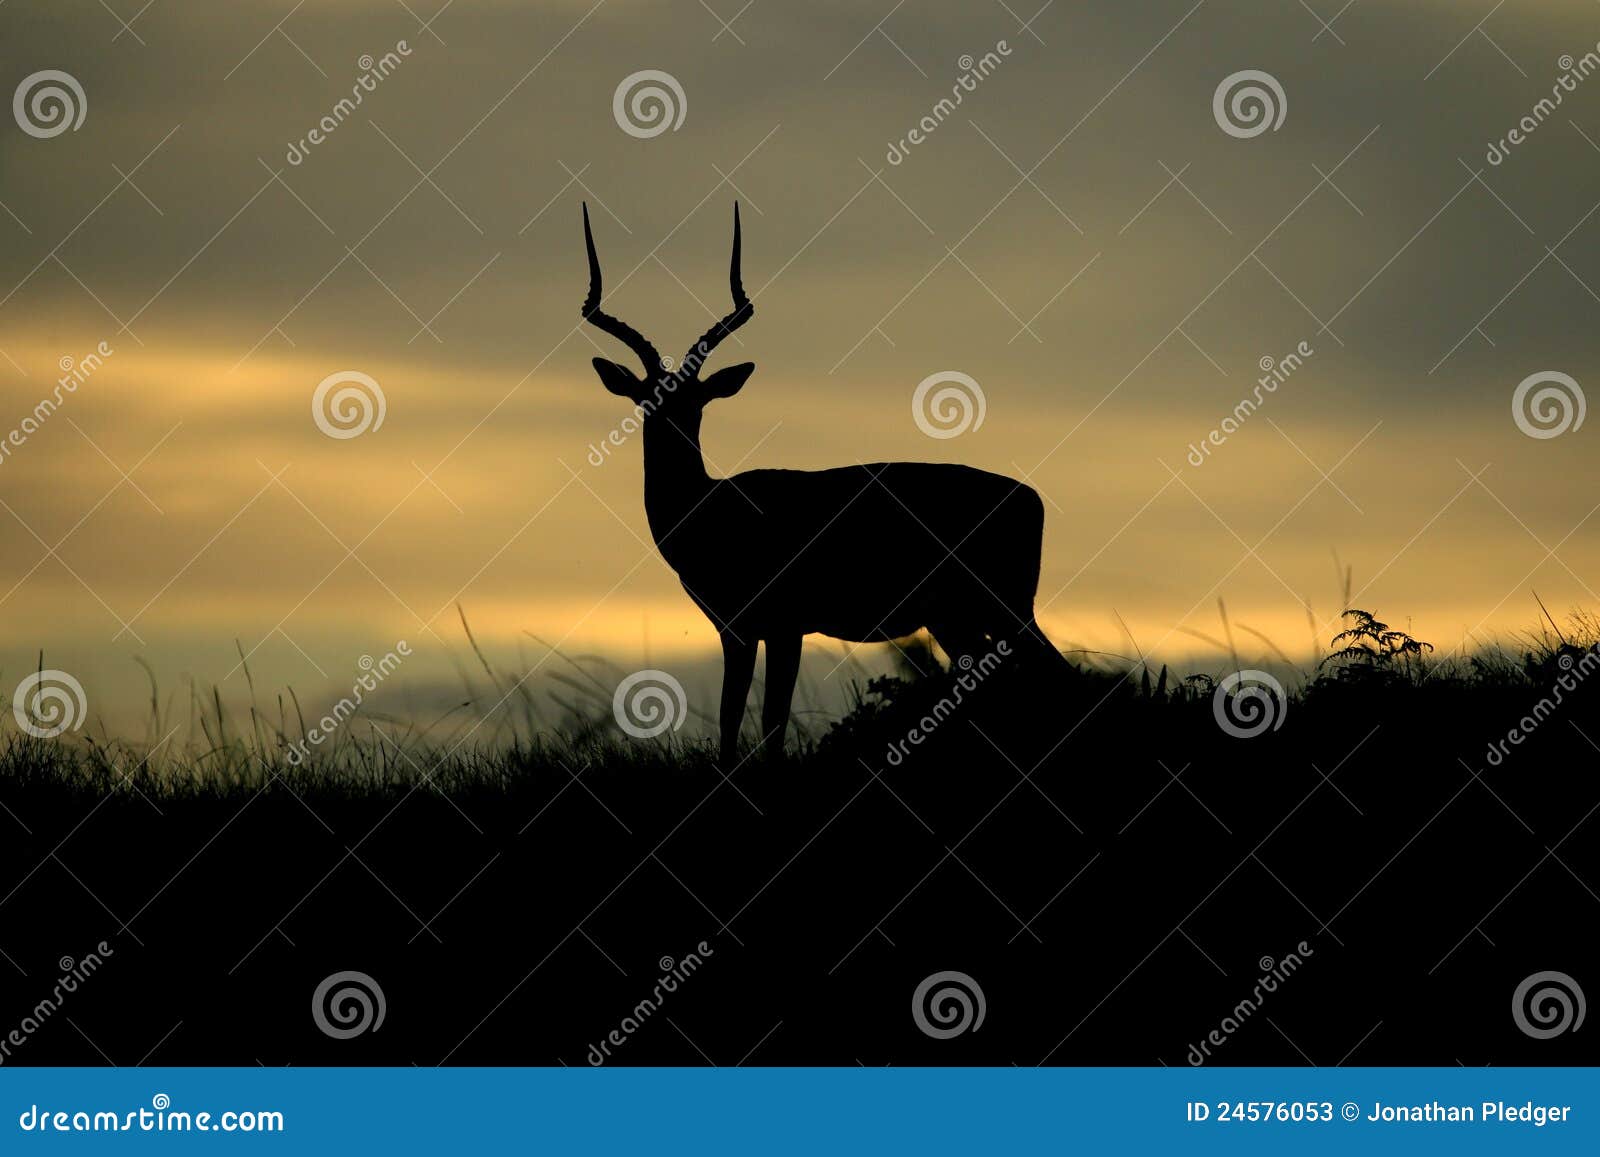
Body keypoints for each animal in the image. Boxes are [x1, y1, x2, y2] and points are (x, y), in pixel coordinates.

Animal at [581, 203, 1070, 764]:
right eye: (648, 399)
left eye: (696, 402)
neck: (712, 510)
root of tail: (1030, 497)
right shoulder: (736, 631)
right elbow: (730, 718)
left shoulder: (785, 626)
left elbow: (771, 720)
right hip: (958, 618)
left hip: (1004, 607)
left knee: (1056, 674)